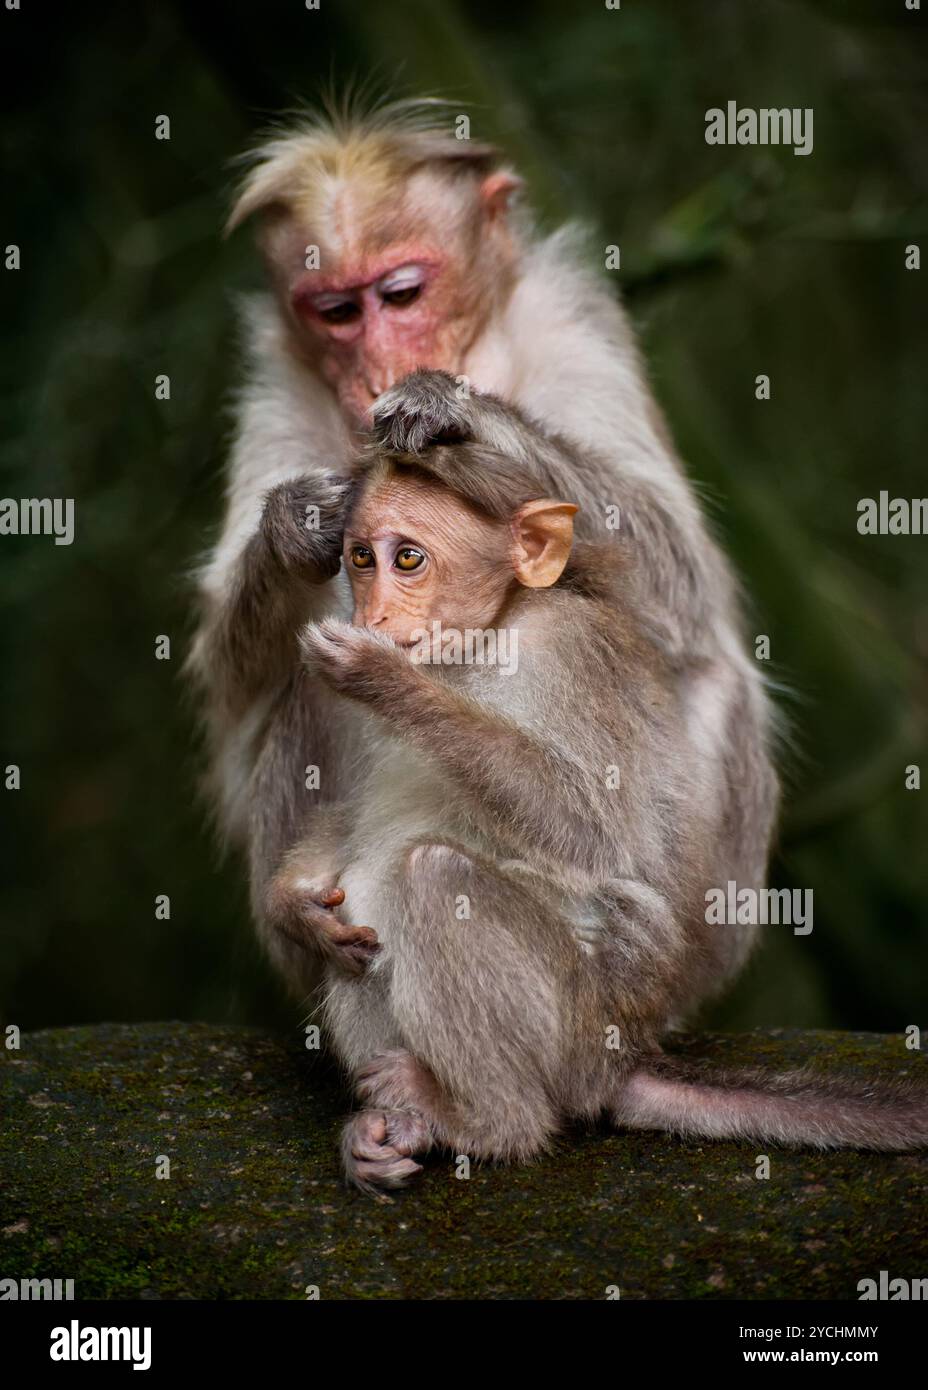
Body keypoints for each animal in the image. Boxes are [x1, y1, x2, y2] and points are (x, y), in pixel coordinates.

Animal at [186, 97, 778, 1024]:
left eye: (402, 293)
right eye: (336, 312)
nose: (377, 369)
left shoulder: (573, 318)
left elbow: (679, 575)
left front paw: (461, 418)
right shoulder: (273, 385)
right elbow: (229, 685)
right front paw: (293, 524)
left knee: (710, 679)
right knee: (295, 690)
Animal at [266, 442, 928, 1192]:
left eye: (407, 558)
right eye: (360, 558)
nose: (374, 616)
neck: (490, 635)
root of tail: (624, 1058)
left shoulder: (570, 653)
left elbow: (593, 831)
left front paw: (386, 681)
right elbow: (350, 820)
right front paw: (293, 905)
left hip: (574, 1032)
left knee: (436, 878)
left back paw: (490, 1123)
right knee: (359, 925)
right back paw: (396, 1129)